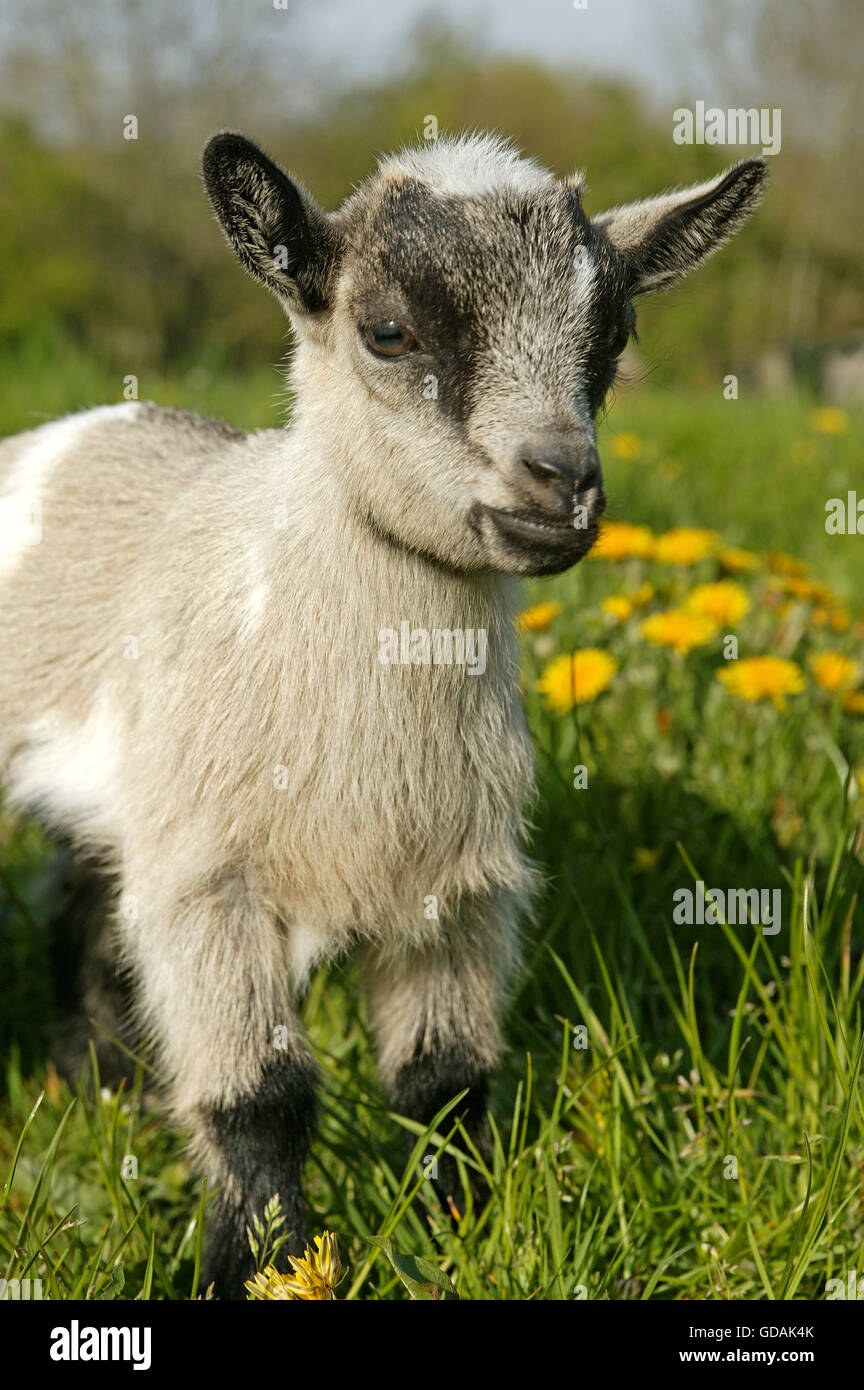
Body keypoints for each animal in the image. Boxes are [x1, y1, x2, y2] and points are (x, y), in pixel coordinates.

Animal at [0, 131, 766, 1295]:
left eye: (614, 334)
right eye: (389, 331)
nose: (564, 483)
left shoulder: (457, 884)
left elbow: (444, 1083)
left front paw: (464, 1235)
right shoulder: (210, 881)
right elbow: (261, 1101)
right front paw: (264, 1264)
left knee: (78, 898)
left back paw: (95, 1082)